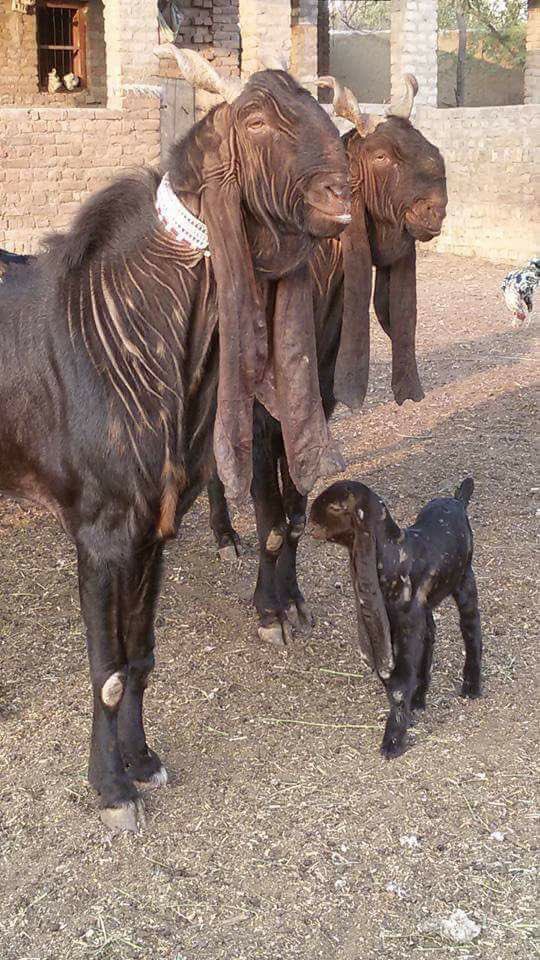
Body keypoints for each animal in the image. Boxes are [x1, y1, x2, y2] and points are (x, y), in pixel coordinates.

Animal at [308, 478, 482, 757]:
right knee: (431, 634)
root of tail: (457, 500)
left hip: (465, 576)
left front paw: (393, 742)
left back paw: (472, 686)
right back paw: (420, 698)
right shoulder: (389, 625)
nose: (309, 523)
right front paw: (408, 714)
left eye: (335, 507)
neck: (397, 555)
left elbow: (399, 685)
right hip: (426, 607)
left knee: (470, 626)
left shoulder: (406, 623)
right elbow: (390, 677)